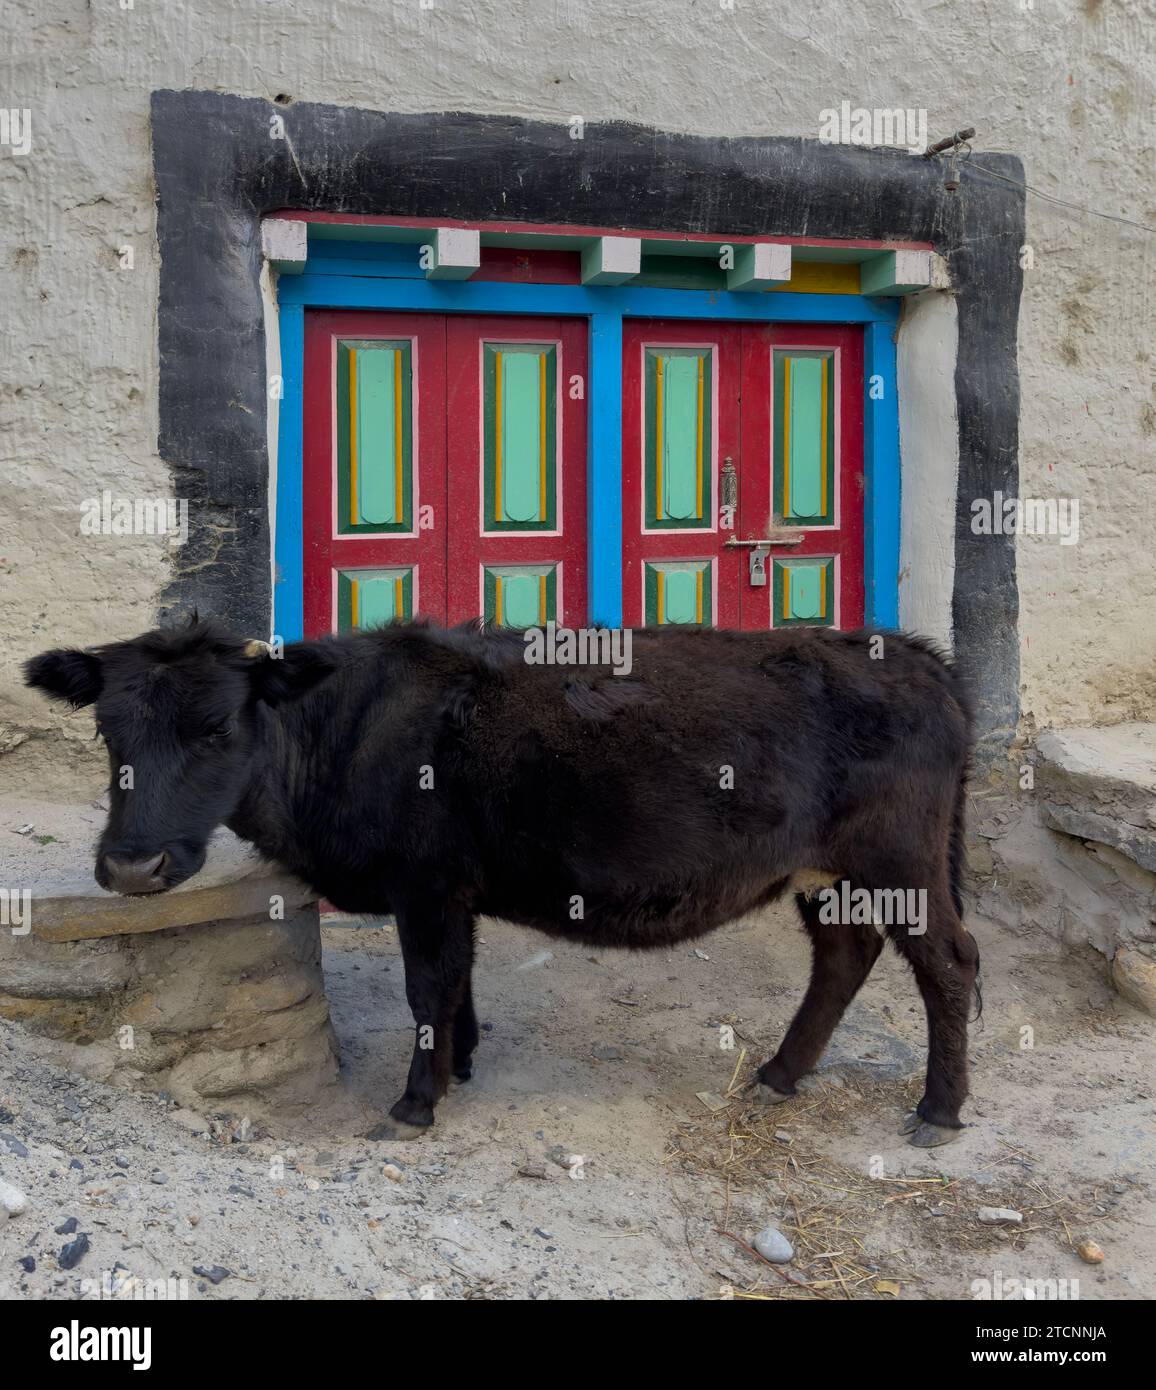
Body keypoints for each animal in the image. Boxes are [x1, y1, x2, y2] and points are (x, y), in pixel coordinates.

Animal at [26, 617, 980, 1148]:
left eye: (219, 728)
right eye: (108, 730)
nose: (130, 866)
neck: (345, 732)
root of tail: (922, 659)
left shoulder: (423, 882)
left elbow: (427, 987)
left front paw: (415, 1102)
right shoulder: (452, 888)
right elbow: (459, 983)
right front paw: (463, 1060)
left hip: (900, 862)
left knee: (949, 965)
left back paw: (938, 1110)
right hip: (827, 874)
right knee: (844, 956)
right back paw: (780, 1073)